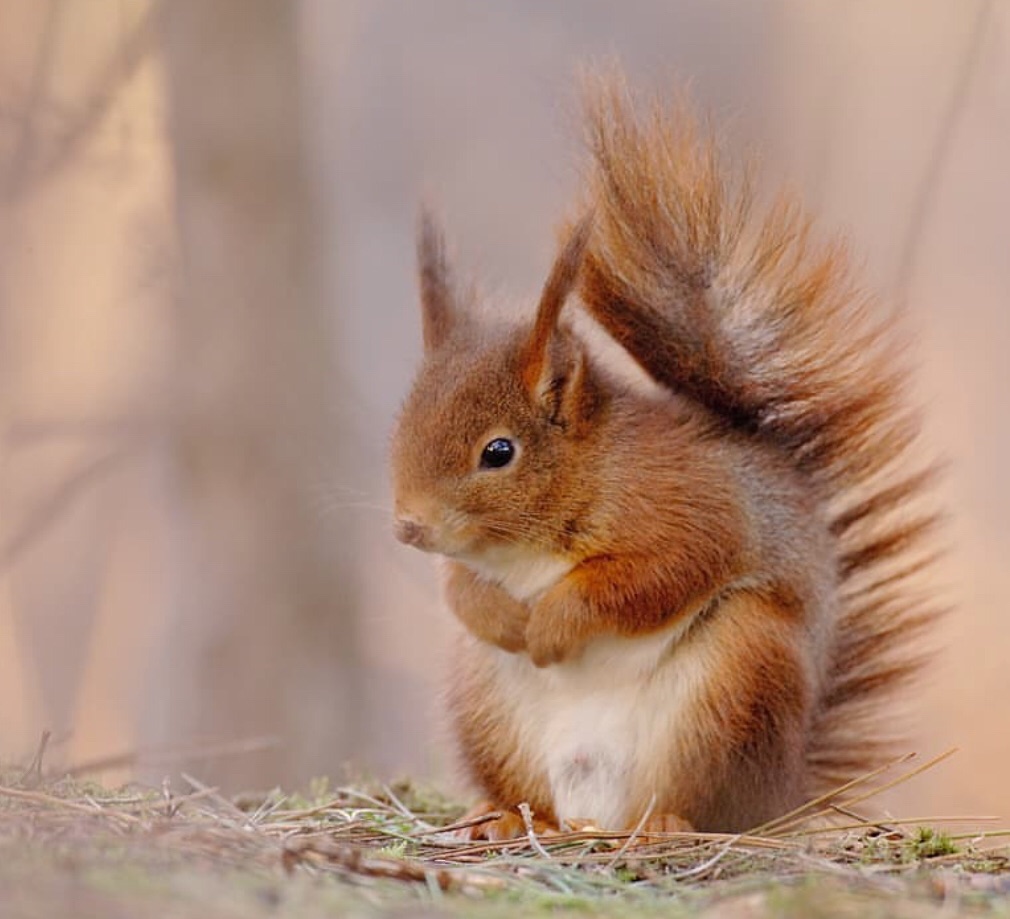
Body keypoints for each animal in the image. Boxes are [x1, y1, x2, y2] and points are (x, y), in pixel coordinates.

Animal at [390, 76, 940, 839]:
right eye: (402, 424)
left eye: (498, 452)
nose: (408, 526)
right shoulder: (472, 565)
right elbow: (460, 590)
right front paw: (503, 617)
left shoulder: (684, 503)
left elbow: (656, 574)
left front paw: (551, 624)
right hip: (486, 703)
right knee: (536, 796)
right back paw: (505, 817)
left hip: (737, 679)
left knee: (701, 802)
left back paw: (665, 825)